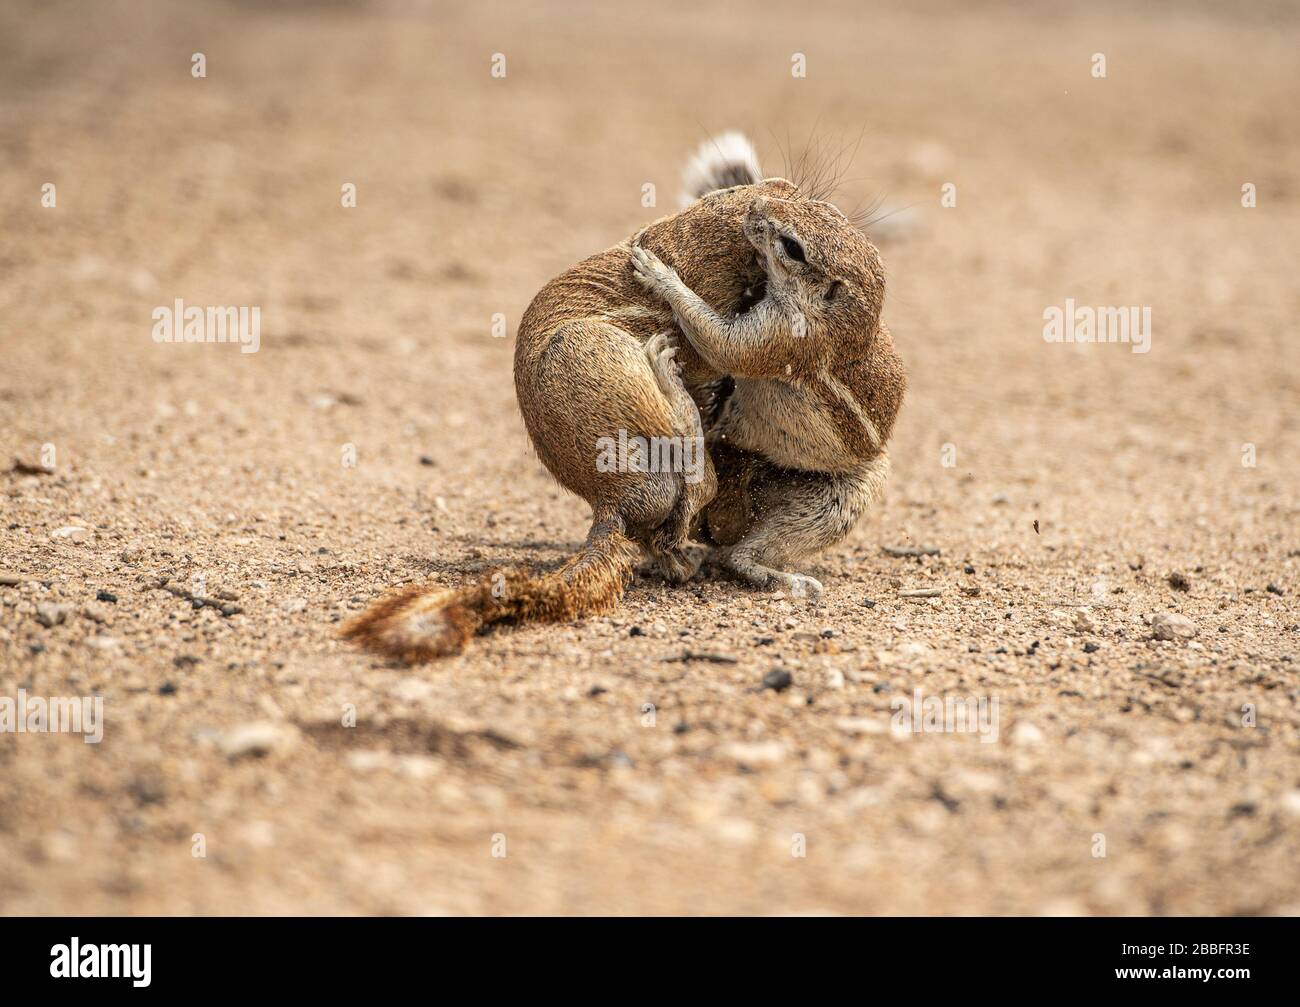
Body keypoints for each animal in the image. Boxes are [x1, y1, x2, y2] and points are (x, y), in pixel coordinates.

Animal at [344, 133, 904, 661]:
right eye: (742, 192)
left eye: (791, 246)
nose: (758, 208)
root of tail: (610, 503)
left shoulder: (775, 334)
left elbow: (721, 343)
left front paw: (659, 276)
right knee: (693, 509)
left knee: (704, 489)